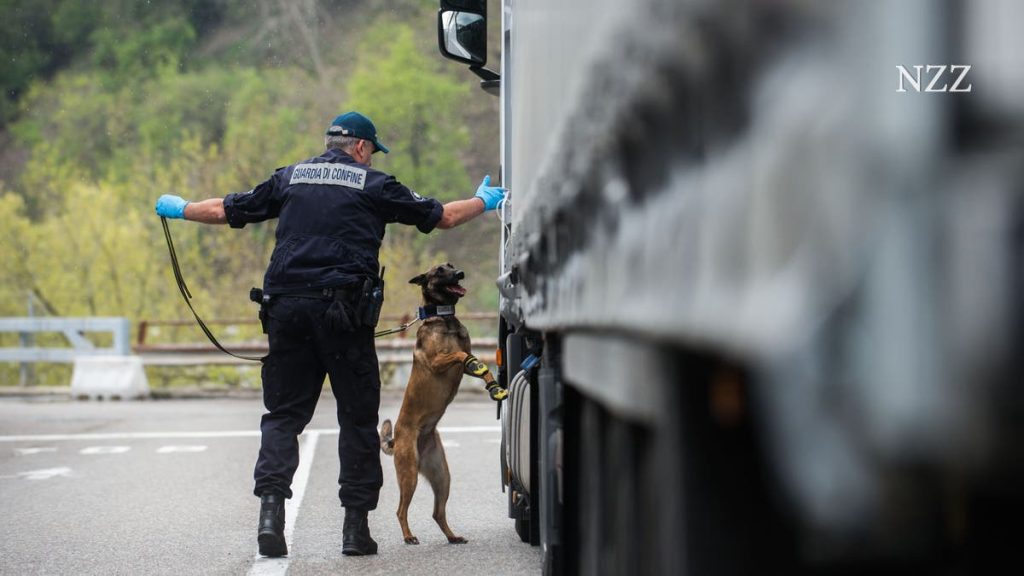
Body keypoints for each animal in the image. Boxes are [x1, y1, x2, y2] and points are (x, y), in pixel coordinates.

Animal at [378, 264, 501, 541]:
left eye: (452, 266)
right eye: (440, 271)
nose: (461, 274)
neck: (444, 319)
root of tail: (397, 439)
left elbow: (480, 365)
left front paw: (494, 387)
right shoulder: (437, 361)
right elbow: (460, 354)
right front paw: (475, 364)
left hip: (442, 477)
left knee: (437, 512)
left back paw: (453, 537)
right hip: (409, 475)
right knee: (400, 510)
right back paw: (408, 536)